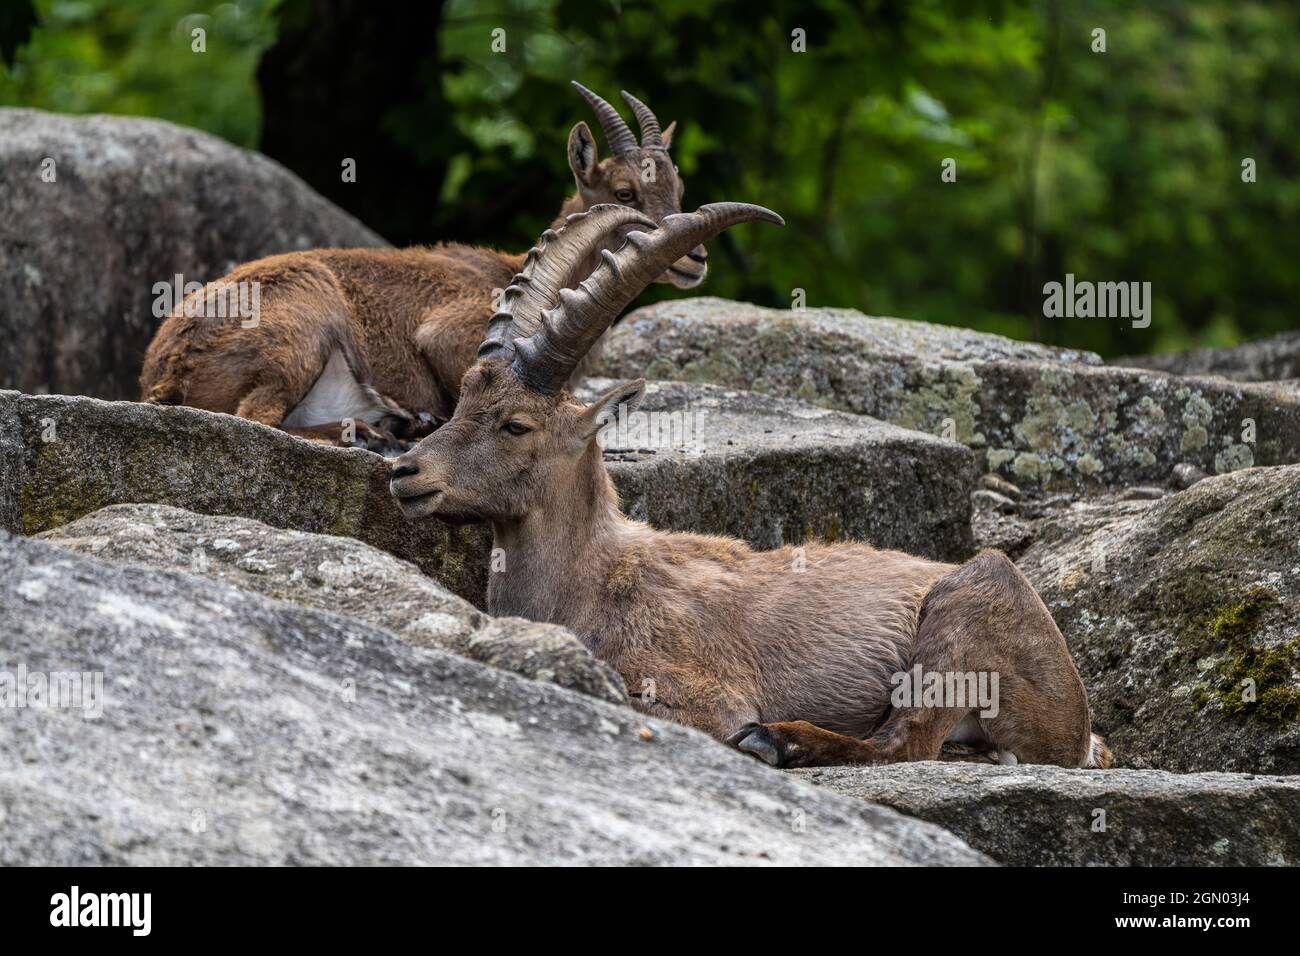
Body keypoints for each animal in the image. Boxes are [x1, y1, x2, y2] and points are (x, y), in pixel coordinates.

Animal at [139, 83, 705, 453]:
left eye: (678, 187)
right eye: (624, 192)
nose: (695, 257)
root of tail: (166, 369)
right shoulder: (450, 334)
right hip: (305, 322)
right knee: (255, 420)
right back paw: (371, 433)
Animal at [388, 202, 1112, 769]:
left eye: (516, 425)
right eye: (461, 400)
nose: (405, 473)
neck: (593, 578)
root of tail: (1082, 728)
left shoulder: (701, 690)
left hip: (969, 611)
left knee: (904, 742)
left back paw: (778, 740)